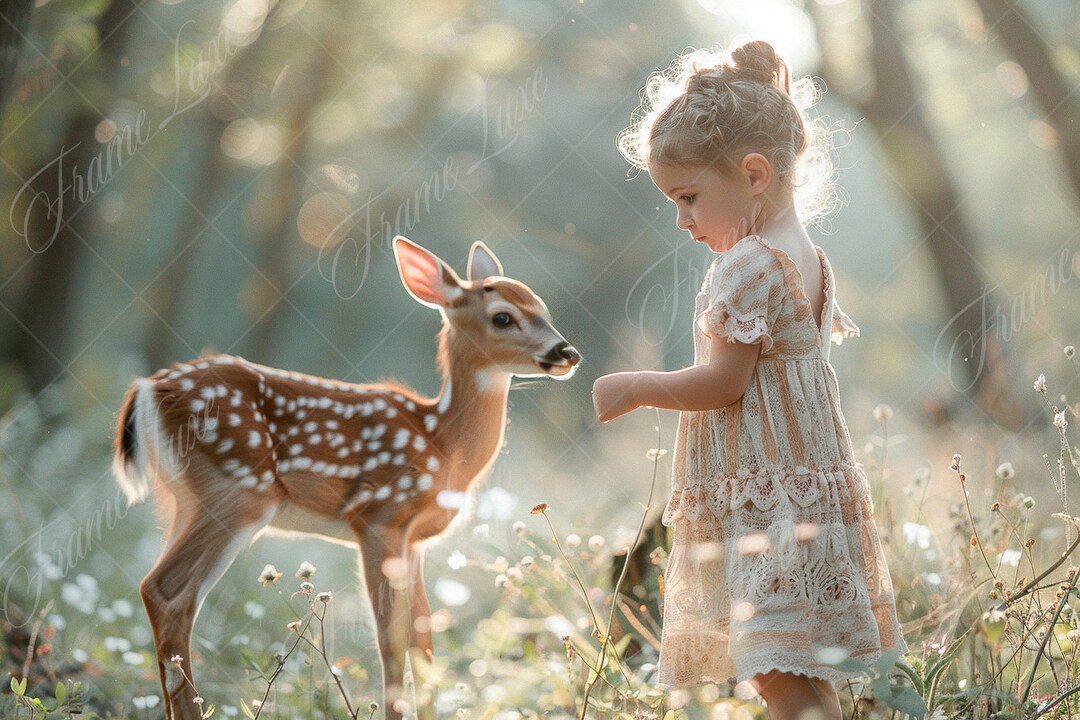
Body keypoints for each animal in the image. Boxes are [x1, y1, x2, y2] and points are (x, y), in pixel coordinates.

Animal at [112, 236, 581, 720]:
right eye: (503, 316)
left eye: (542, 307)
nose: (567, 353)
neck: (444, 445)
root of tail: (147, 389)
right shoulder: (378, 517)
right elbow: (390, 639)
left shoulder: (414, 540)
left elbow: (423, 639)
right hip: (238, 491)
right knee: (167, 591)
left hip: (187, 501)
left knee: (160, 592)